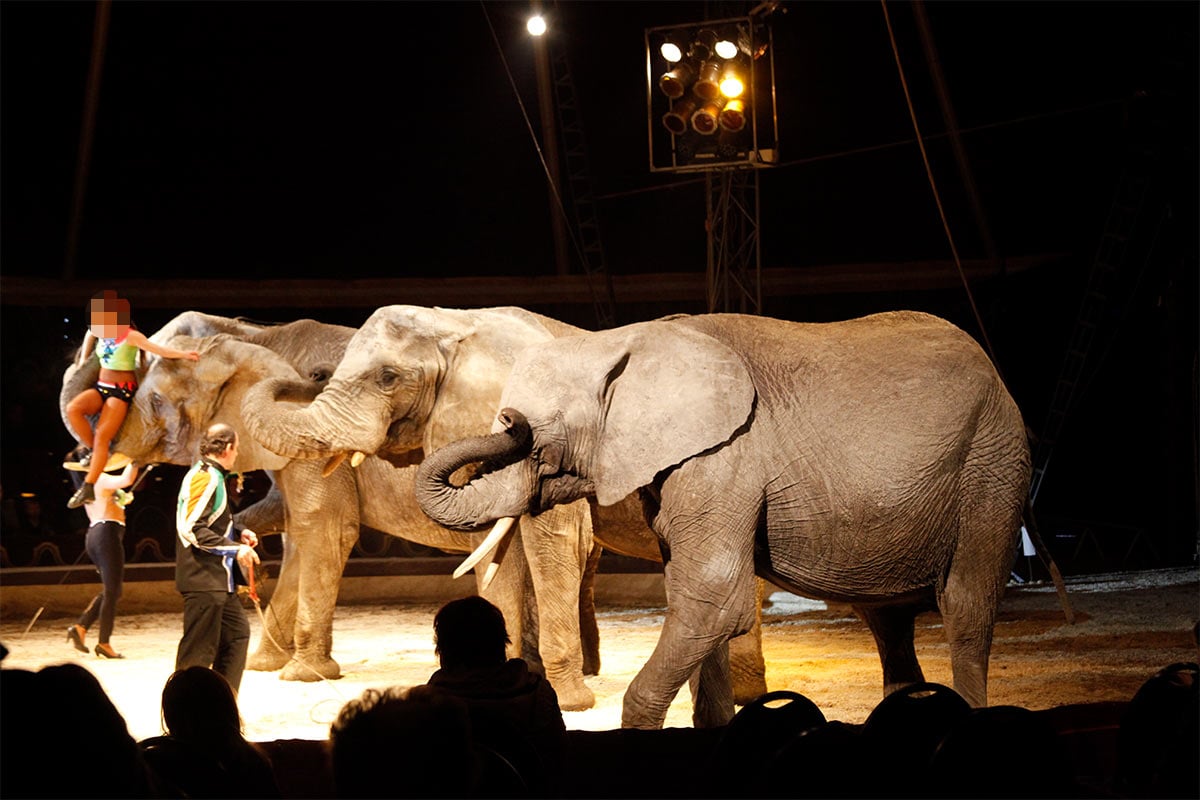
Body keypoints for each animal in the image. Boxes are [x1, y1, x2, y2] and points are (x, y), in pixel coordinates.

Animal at [57, 312, 599, 708]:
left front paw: (302, 673)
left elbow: (325, 529)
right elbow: (292, 527)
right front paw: (268, 662)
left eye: (151, 401)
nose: (314, 377)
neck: (253, 333)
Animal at [239, 304, 770, 707]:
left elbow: (555, 539)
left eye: (387, 377)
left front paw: (570, 703)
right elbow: (502, 550)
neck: (456, 324)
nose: (313, 374)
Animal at [414, 310, 1032, 730]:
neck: (621, 340)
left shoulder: (726, 455)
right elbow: (695, 601)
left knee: (965, 606)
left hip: (992, 466)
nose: (511, 418)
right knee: (887, 619)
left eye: (535, 438)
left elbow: (713, 598)